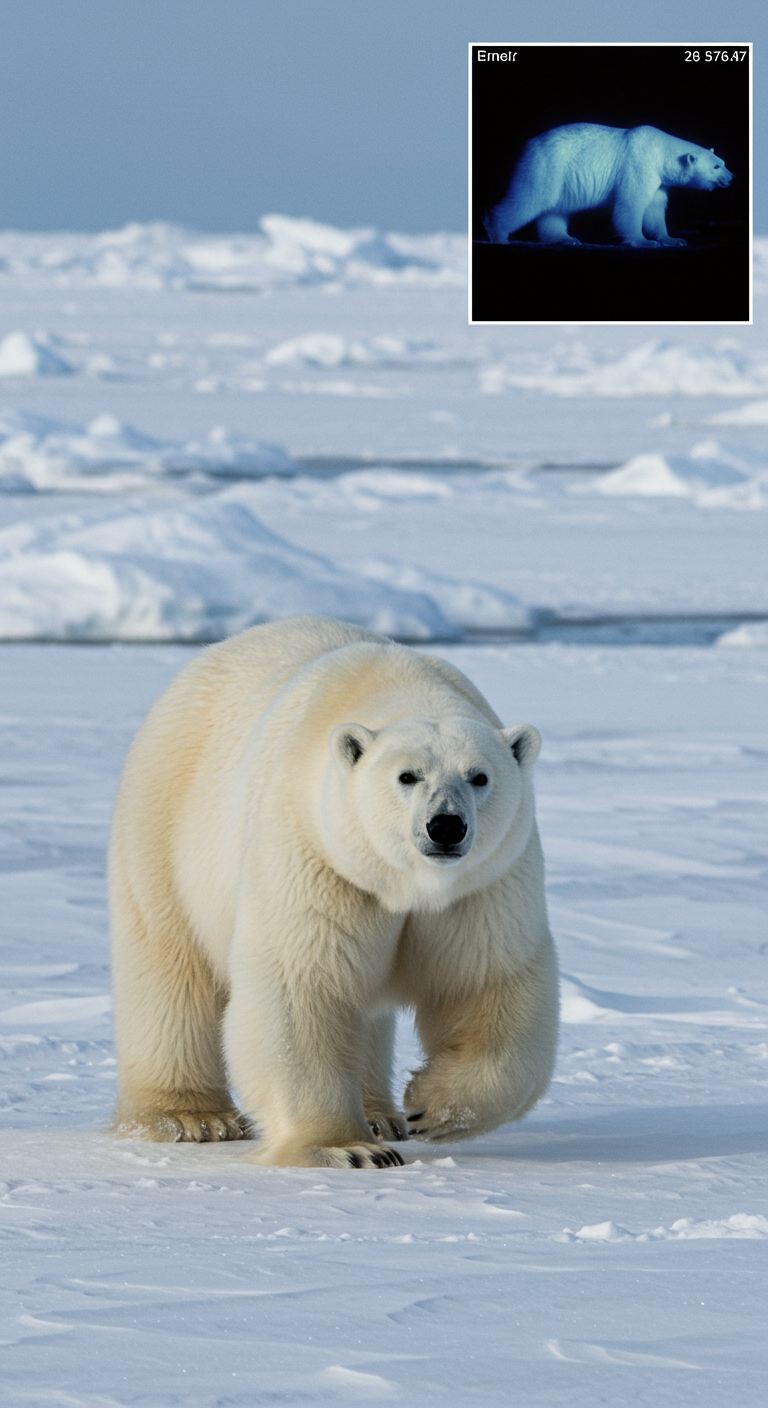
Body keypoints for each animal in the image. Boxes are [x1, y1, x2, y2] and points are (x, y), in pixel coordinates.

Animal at [109, 616, 558, 1169]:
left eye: (480, 777)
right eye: (407, 776)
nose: (446, 827)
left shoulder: (482, 885)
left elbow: (487, 982)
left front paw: (430, 1106)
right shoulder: (317, 854)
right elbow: (302, 983)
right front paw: (349, 1148)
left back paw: (381, 1114)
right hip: (165, 828)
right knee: (170, 969)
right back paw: (192, 1118)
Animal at [483, 123, 733, 247]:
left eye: (723, 162)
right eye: (716, 167)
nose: (732, 178)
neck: (660, 151)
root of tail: (527, 146)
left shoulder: (658, 180)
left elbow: (654, 210)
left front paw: (674, 240)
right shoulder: (639, 165)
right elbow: (630, 204)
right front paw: (643, 242)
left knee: (554, 210)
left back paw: (567, 239)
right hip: (545, 167)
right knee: (530, 198)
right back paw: (498, 234)